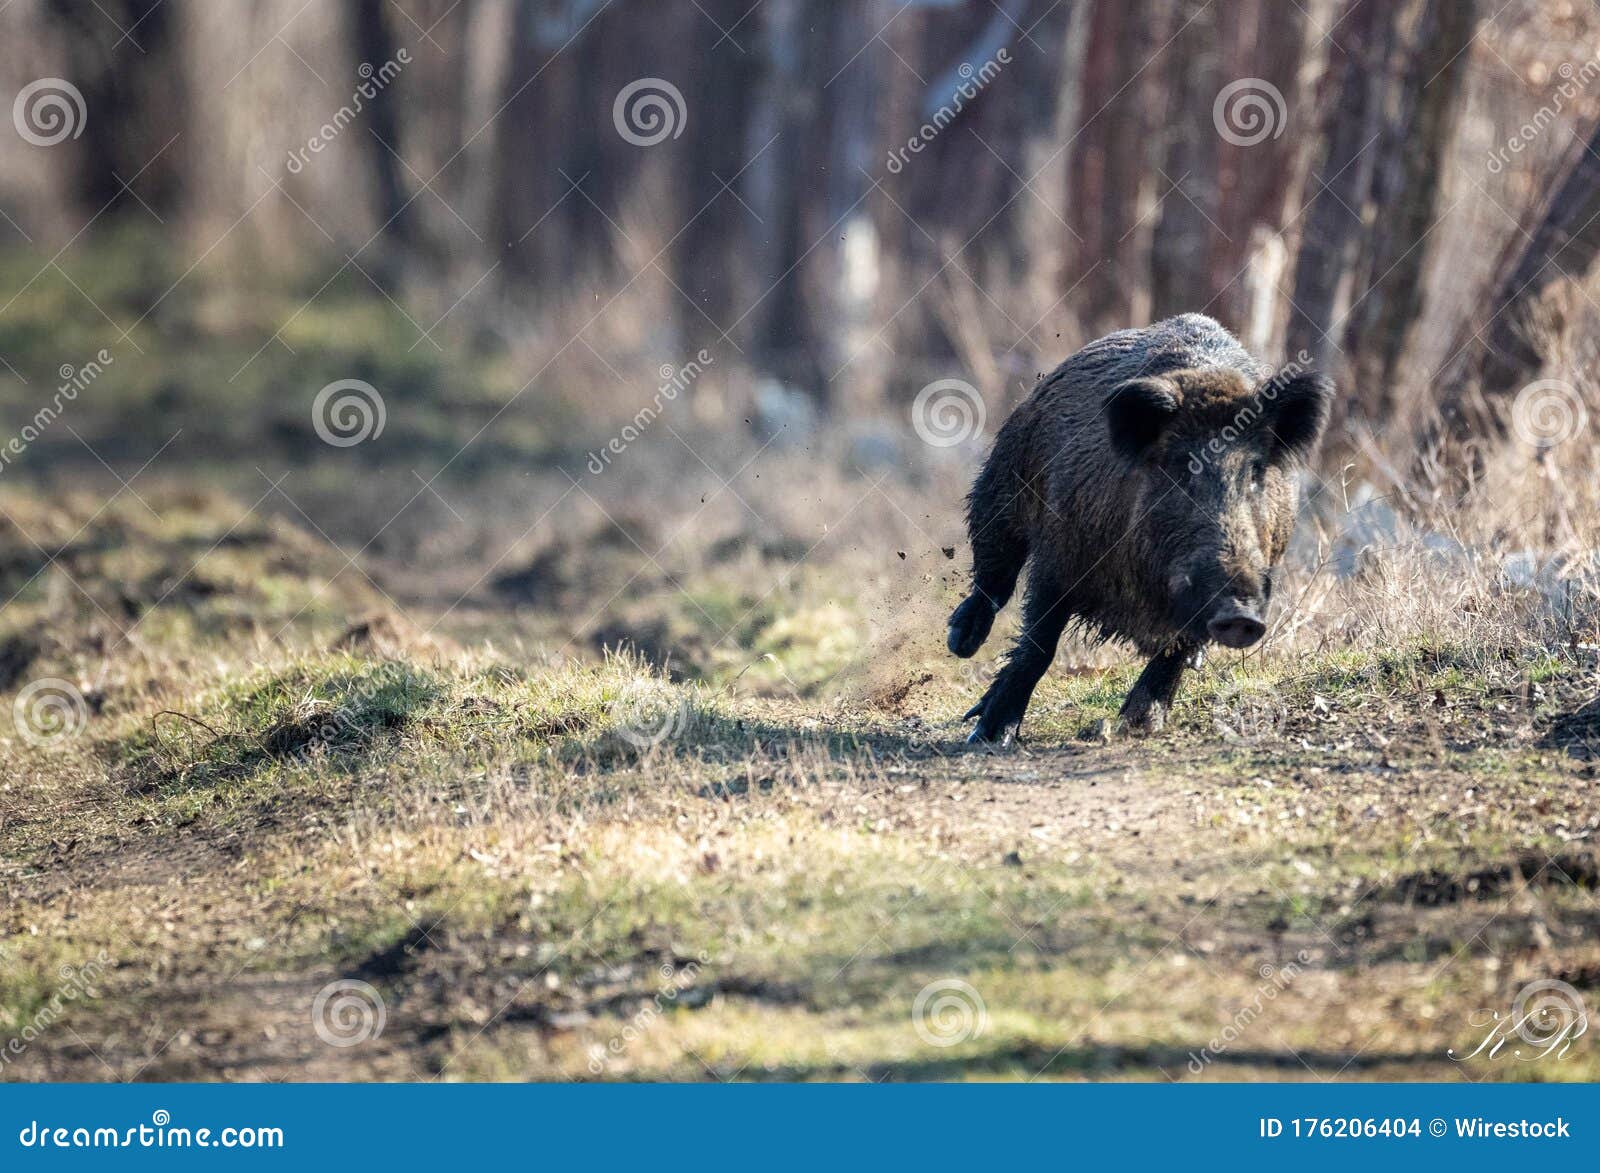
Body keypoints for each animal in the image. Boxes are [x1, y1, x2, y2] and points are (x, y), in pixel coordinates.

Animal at [947, 313, 1333, 743]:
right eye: (1182, 466)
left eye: (1256, 470)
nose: (1239, 612)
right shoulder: (1059, 556)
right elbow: (1039, 644)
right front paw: (989, 736)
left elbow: (1177, 646)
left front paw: (1140, 724)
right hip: (1002, 484)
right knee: (993, 571)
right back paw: (961, 641)